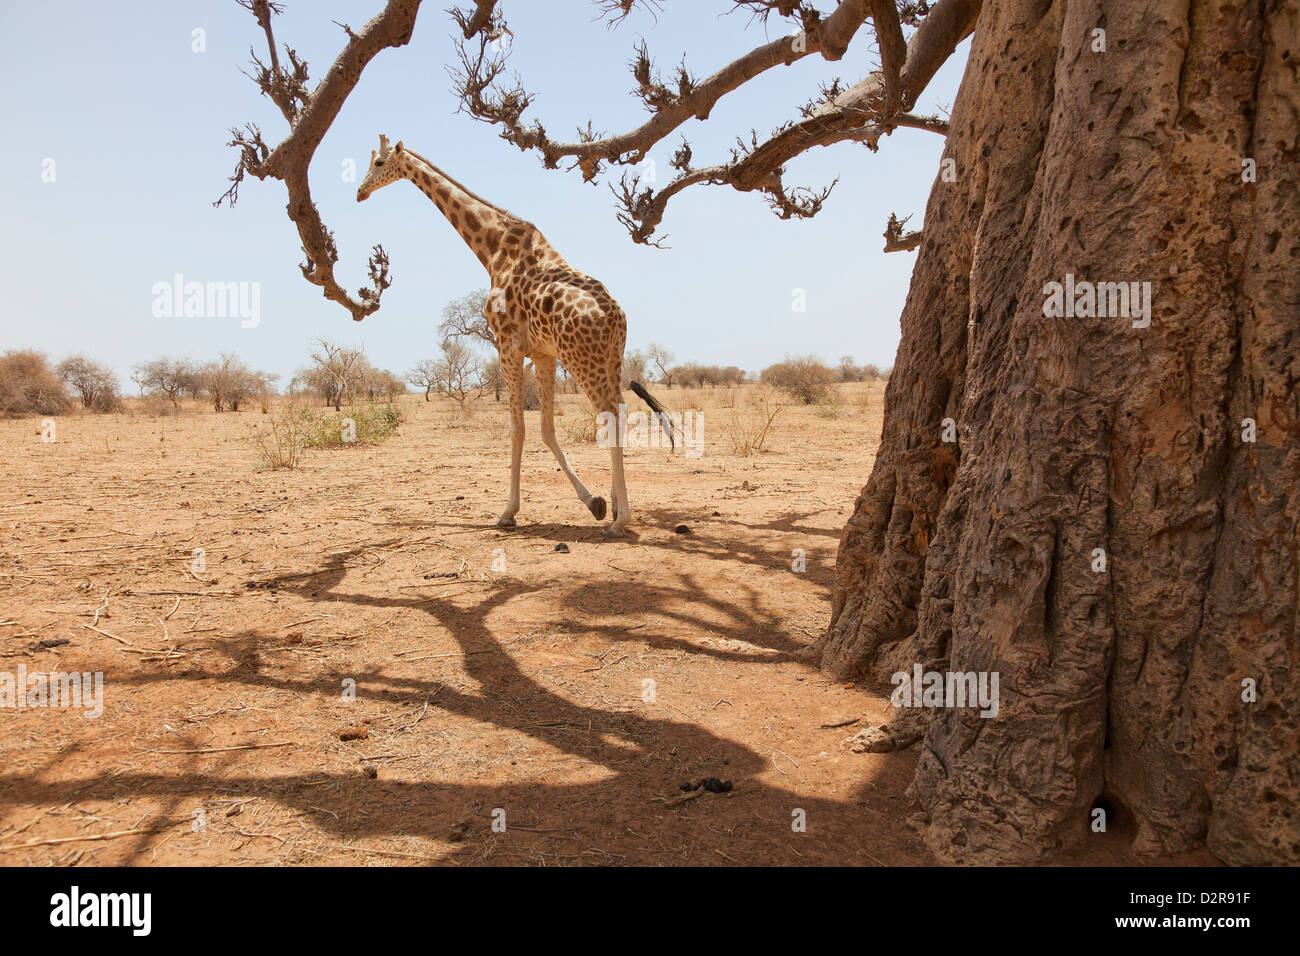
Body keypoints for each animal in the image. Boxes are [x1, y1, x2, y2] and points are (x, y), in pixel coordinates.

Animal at [356, 134, 674, 537]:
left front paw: (508, 511)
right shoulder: (543, 354)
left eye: (379, 162)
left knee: (610, 414)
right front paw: (595, 502)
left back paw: (621, 522)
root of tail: (615, 316)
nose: (360, 192)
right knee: (619, 409)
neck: (491, 248)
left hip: (582, 359)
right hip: (609, 357)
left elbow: (517, 428)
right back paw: (617, 508)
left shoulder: (506, 343)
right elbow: (547, 429)